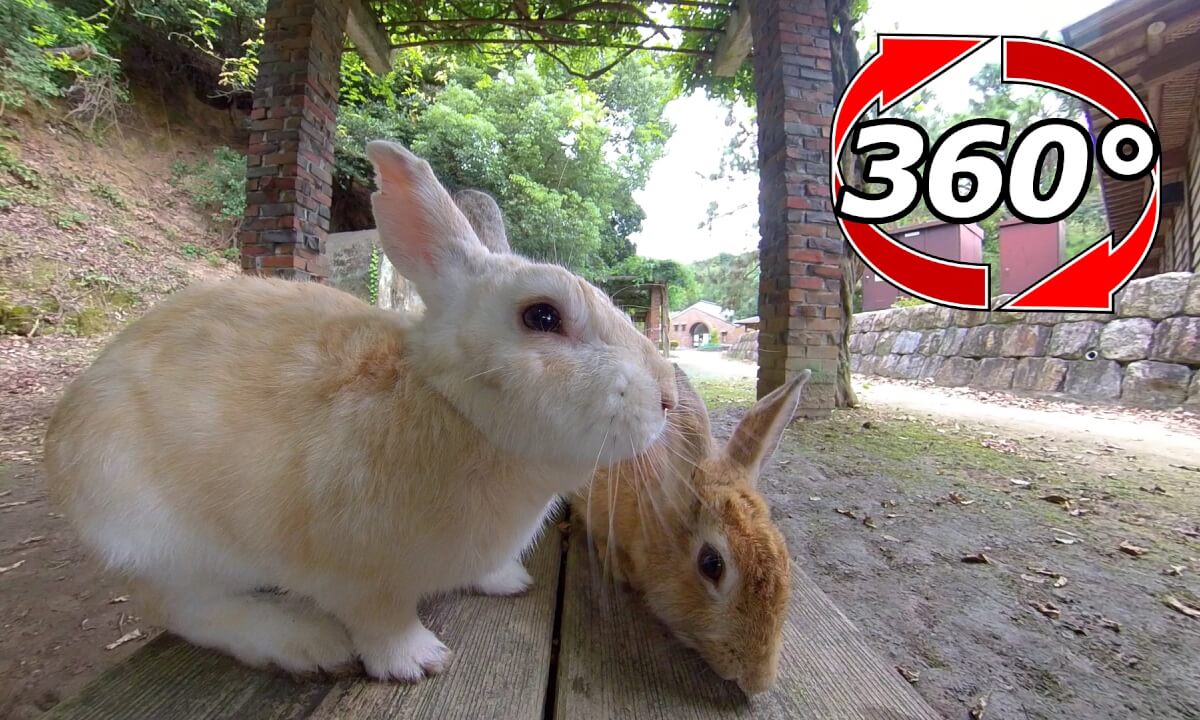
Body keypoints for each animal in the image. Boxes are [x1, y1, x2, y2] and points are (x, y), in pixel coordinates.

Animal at [42, 139, 679, 684]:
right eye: (542, 316)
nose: (668, 397)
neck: (456, 412)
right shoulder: (357, 577)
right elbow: (383, 622)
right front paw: (418, 662)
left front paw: (506, 581)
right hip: (159, 538)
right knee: (182, 608)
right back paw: (303, 642)